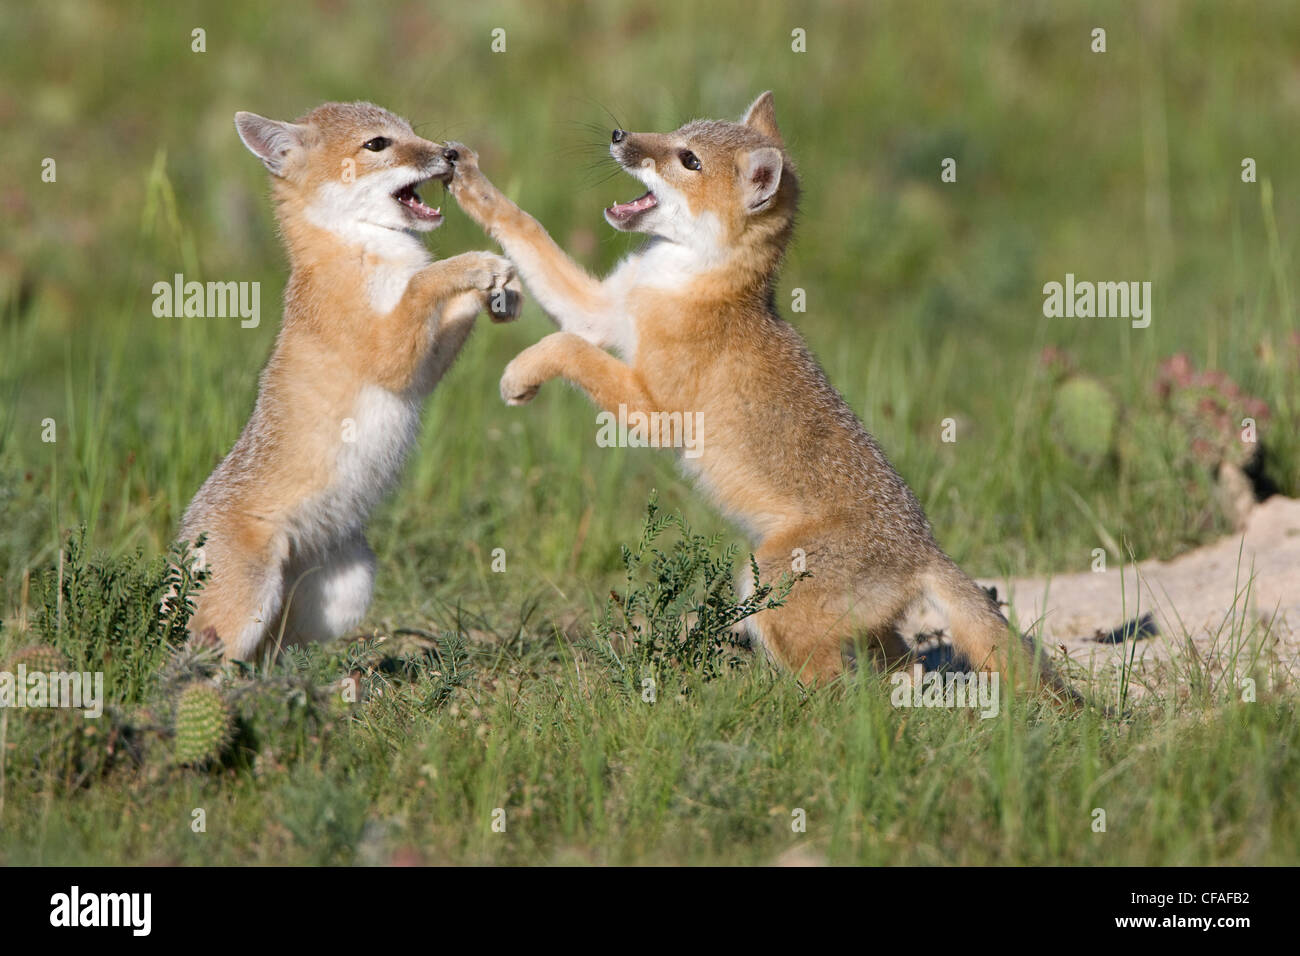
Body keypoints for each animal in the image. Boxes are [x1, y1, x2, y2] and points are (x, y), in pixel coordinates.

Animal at [178, 101, 521, 661]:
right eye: (378, 144)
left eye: (413, 131)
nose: (448, 153)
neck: (363, 250)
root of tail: (186, 534)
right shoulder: (390, 351)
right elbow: (425, 281)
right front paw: (474, 264)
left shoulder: (419, 371)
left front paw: (501, 291)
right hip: (245, 605)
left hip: (345, 591)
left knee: (273, 657)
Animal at [444, 92, 1077, 699]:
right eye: (678, 132)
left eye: (688, 161)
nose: (620, 135)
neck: (680, 280)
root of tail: (925, 549)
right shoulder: (601, 312)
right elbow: (527, 230)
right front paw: (470, 182)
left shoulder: (656, 409)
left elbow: (567, 348)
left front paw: (519, 374)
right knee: (897, 670)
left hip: (768, 594)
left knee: (836, 693)